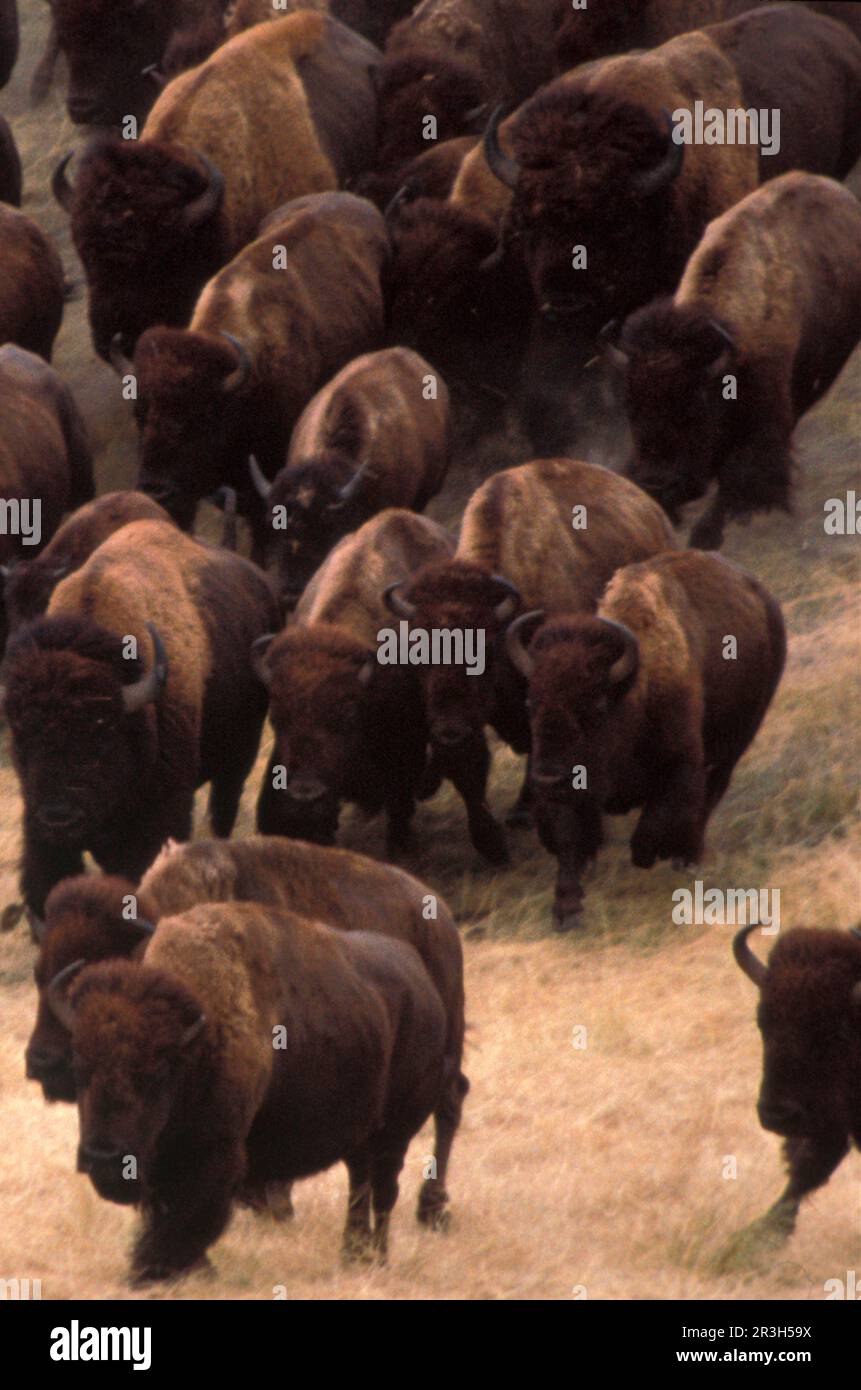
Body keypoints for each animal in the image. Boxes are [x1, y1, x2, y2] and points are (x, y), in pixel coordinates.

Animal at [2, 518, 280, 914]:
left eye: (102, 735)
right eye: (21, 734)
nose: (59, 818)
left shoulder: (158, 819)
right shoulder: (36, 819)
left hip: (241, 752)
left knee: (225, 804)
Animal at [55, 899, 456, 1279]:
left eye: (156, 1075)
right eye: (78, 1068)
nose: (103, 1158)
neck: (199, 1041)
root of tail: (423, 984)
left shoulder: (216, 1152)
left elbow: (187, 1216)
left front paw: (153, 1272)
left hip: (398, 1130)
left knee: (384, 1191)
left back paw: (379, 1260)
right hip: (362, 1133)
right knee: (360, 1184)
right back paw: (351, 1256)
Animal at [505, 550, 785, 930]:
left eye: (597, 706)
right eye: (530, 702)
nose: (548, 777)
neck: (633, 691)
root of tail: (764, 598)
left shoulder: (683, 764)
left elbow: (653, 825)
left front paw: (651, 855)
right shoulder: (567, 792)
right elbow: (569, 841)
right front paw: (567, 910)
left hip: (738, 740)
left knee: (712, 792)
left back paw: (687, 857)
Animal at [606, 172, 861, 549]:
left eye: (696, 408)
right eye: (629, 405)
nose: (659, 483)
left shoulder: (763, 421)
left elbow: (741, 477)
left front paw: (706, 534)